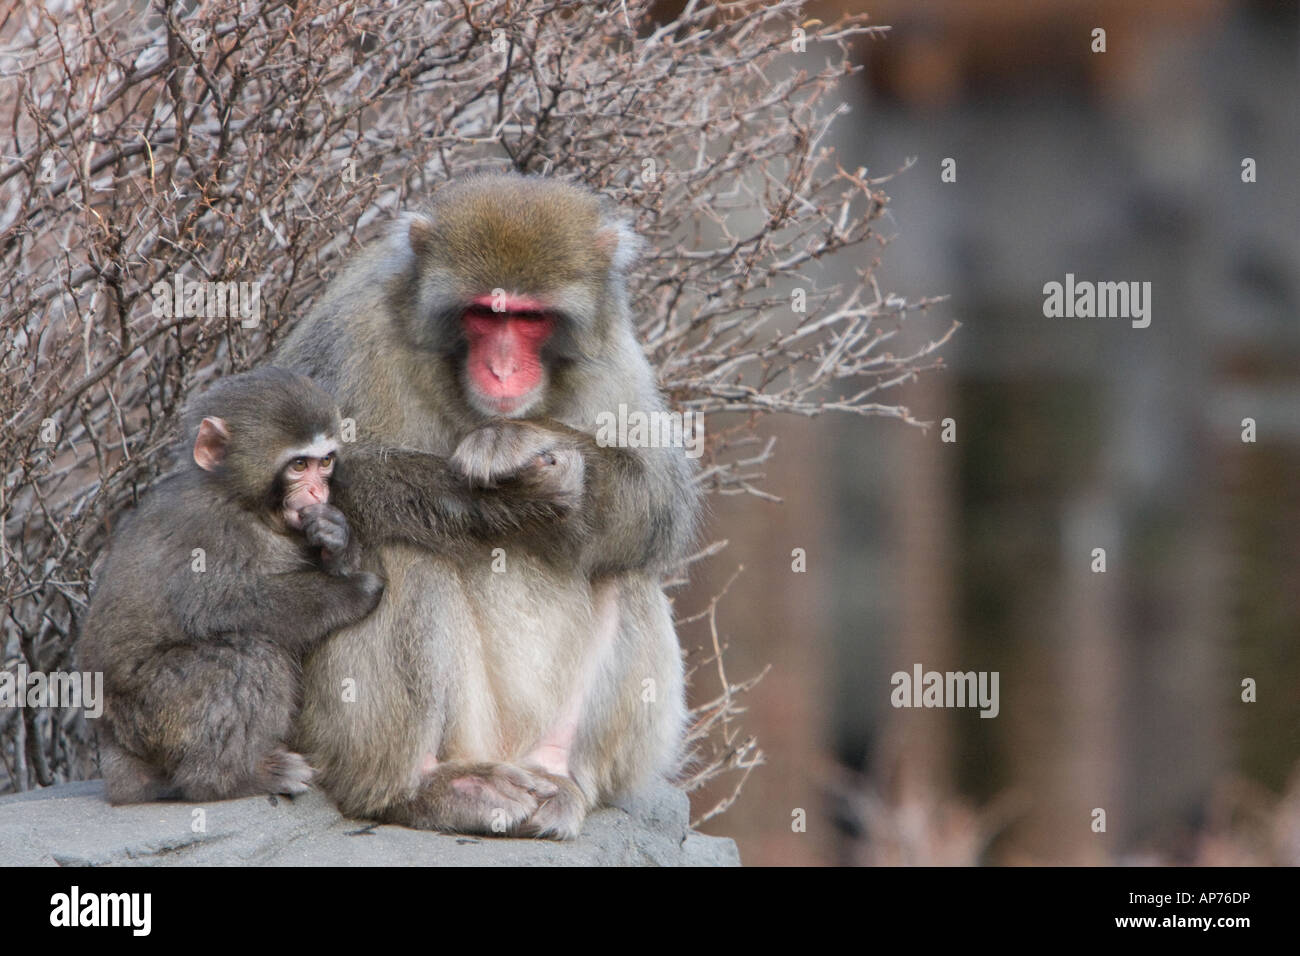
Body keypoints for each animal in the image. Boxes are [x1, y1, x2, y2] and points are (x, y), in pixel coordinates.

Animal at [78, 367, 386, 804]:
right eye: (298, 465)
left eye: (324, 462)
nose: (318, 491)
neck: (247, 505)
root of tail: (113, 747)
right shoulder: (210, 531)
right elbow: (224, 607)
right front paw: (352, 591)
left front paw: (336, 540)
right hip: (152, 713)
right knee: (249, 654)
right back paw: (229, 779)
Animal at [275, 173, 700, 839]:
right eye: (483, 313)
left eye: (529, 318)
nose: (501, 370)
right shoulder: (353, 327)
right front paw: (510, 502)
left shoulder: (614, 351)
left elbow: (663, 500)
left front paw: (542, 454)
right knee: (401, 549)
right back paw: (418, 789)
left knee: (625, 569)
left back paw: (560, 778)